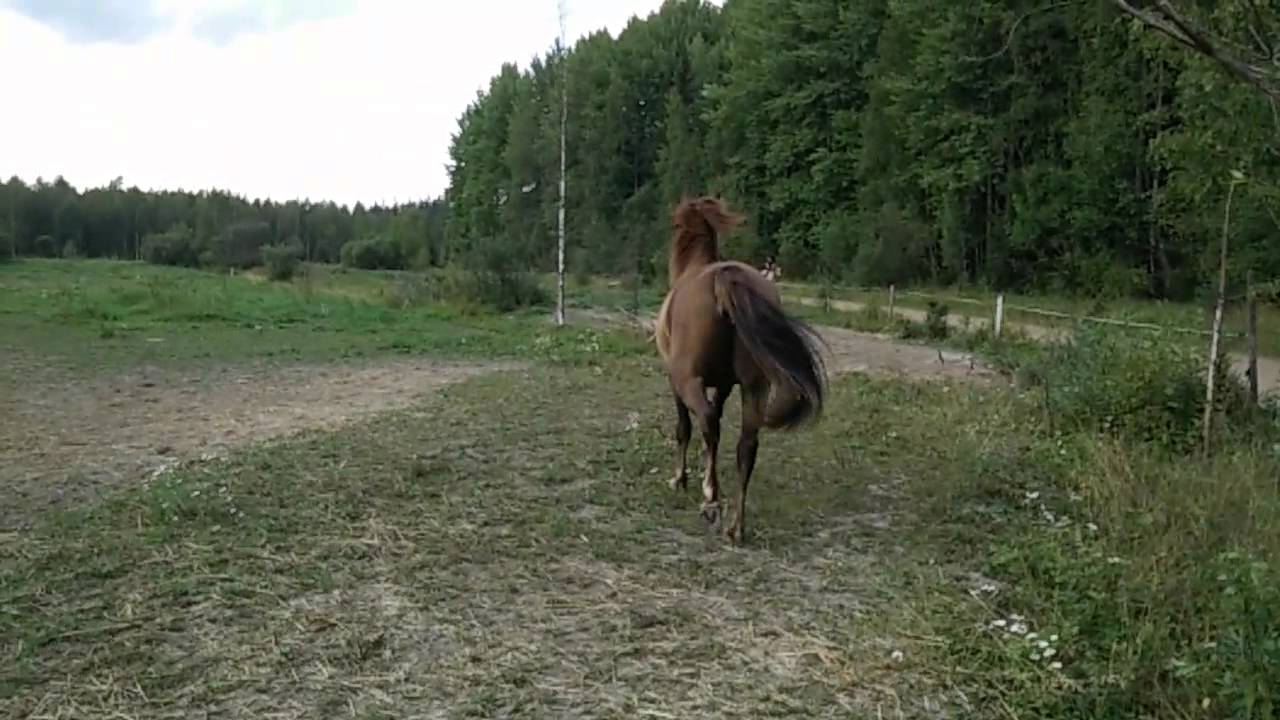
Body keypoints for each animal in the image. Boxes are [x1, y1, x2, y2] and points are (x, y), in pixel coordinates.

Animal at [654, 197, 828, 544]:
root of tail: (727, 278)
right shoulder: (725, 385)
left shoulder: (675, 381)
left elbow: (685, 428)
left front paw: (680, 479)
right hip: (755, 388)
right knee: (746, 446)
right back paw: (736, 527)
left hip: (689, 380)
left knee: (707, 421)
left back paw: (711, 499)